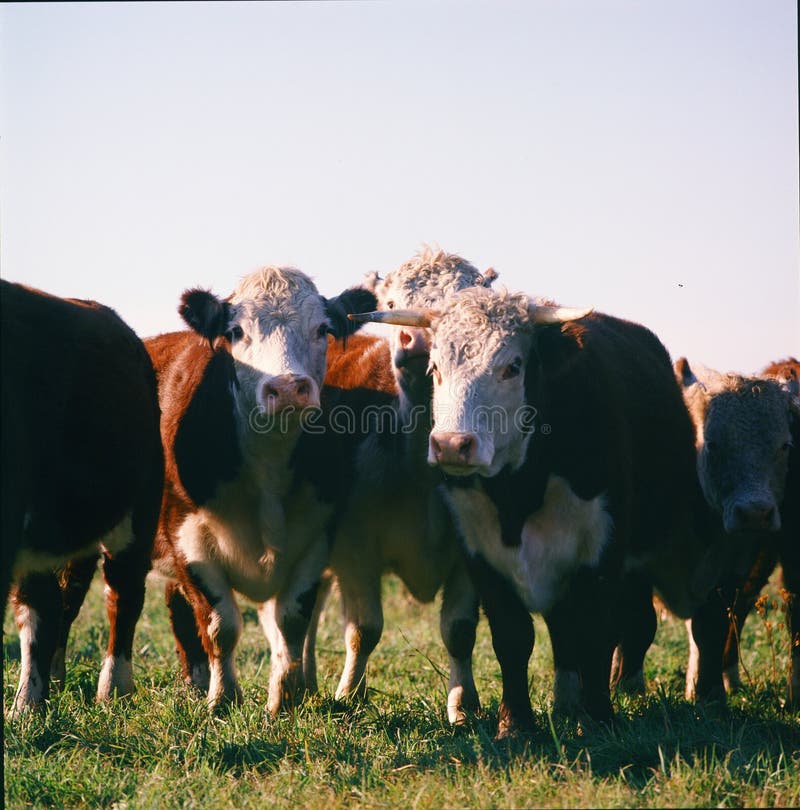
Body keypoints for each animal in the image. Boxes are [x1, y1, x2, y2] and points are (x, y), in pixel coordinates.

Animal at [144, 266, 376, 715]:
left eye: (322, 329)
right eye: (235, 331)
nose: (285, 388)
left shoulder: (316, 538)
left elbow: (291, 621)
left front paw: (284, 699)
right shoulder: (187, 540)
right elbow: (221, 624)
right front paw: (222, 700)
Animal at [302, 247, 497, 723]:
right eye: (391, 304)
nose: (417, 341)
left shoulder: (469, 552)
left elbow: (459, 631)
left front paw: (463, 706)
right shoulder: (354, 549)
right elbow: (364, 629)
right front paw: (349, 695)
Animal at [353, 287, 722, 737]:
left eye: (513, 366)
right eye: (436, 367)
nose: (452, 445)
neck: (520, 492)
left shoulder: (602, 549)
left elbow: (596, 633)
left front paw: (599, 719)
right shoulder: (480, 554)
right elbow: (514, 638)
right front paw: (515, 725)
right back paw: (566, 702)